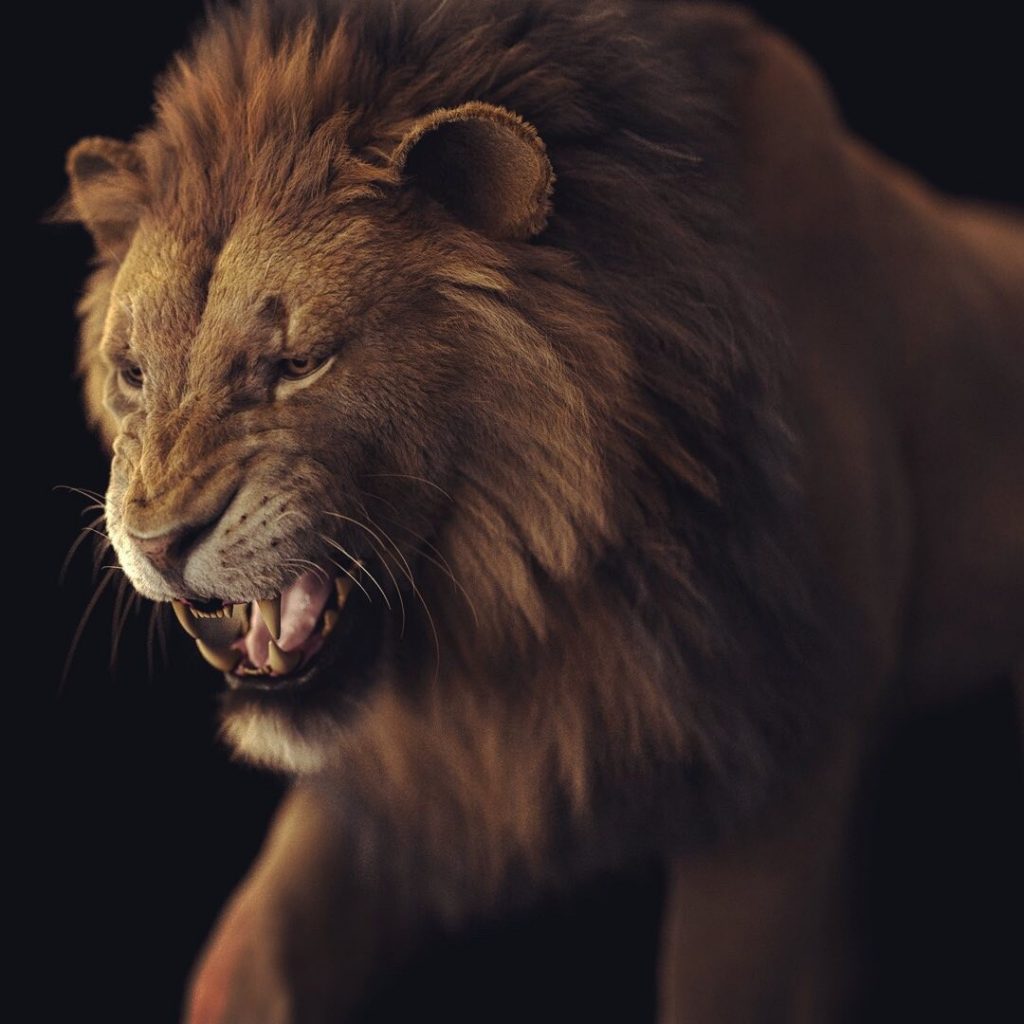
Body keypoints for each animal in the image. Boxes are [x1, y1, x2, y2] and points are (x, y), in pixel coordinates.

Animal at [60, 0, 1023, 1020]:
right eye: (134, 373)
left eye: (299, 363)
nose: (158, 541)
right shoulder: (399, 771)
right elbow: (250, 956)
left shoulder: (787, 749)